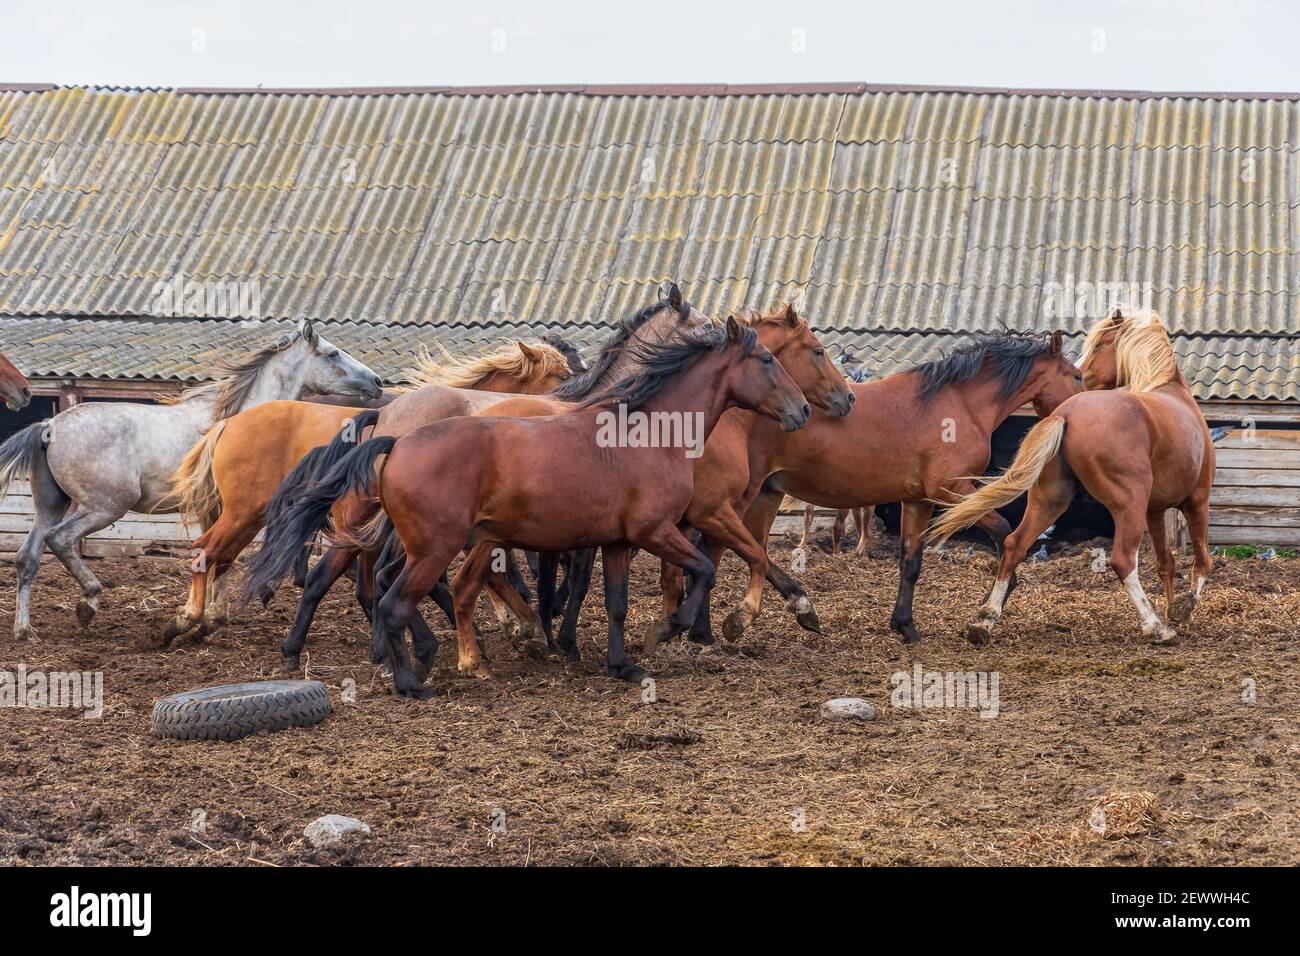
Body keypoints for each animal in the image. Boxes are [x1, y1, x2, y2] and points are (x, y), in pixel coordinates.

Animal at [0, 320, 381, 642]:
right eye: (332, 353)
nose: (376, 382)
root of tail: (50, 426)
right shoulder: (224, 508)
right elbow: (217, 555)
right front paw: (205, 616)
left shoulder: (213, 510)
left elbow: (216, 557)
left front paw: (208, 616)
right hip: (104, 507)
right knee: (60, 540)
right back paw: (88, 603)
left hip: (51, 504)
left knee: (27, 556)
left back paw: (25, 631)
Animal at [163, 339, 574, 642]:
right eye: (559, 373)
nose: (568, 401)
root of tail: (228, 424)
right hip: (244, 512)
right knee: (207, 550)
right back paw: (187, 618)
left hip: (249, 515)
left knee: (221, 556)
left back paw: (208, 618)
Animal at [243, 317, 811, 698]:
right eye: (767, 360)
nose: (803, 409)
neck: (648, 432)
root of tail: (394, 439)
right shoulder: (656, 531)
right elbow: (705, 571)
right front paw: (666, 633)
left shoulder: (618, 542)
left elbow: (616, 603)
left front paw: (622, 663)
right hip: (435, 549)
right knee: (394, 602)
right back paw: (415, 681)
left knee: (386, 592)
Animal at [666, 329, 1082, 646]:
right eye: (1076, 377)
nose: (1087, 400)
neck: (960, 403)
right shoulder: (952, 491)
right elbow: (1003, 532)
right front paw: (991, 605)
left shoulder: (917, 501)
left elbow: (910, 563)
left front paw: (905, 625)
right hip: (740, 497)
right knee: (719, 549)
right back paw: (713, 629)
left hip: (766, 494)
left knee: (748, 550)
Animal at [928, 309, 1214, 646]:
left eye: (1100, 344)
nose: (1082, 376)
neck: (1172, 391)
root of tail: (1066, 414)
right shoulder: (1197, 502)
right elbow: (1201, 562)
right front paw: (1183, 608)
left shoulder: (1155, 511)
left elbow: (1165, 563)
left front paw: (1173, 609)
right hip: (1129, 507)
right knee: (1123, 560)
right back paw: (1156, 627)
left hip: (1050, 501)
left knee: (1014, 544)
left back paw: (984, 621)